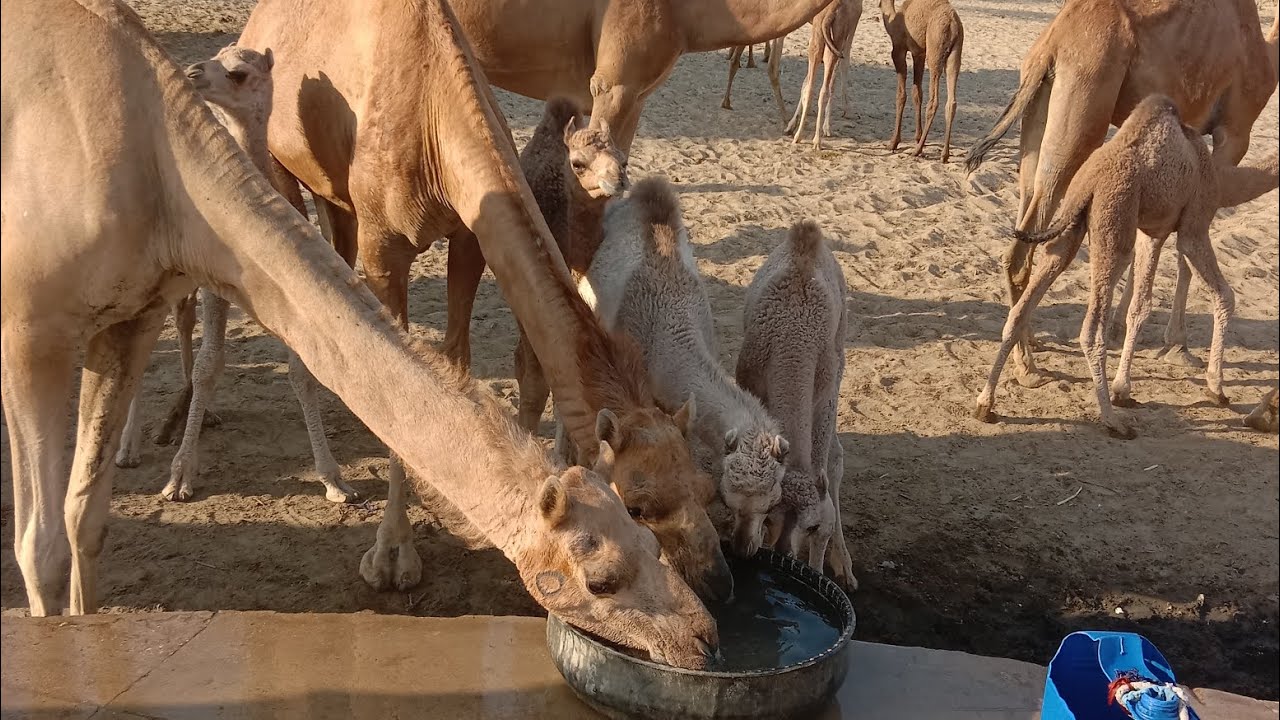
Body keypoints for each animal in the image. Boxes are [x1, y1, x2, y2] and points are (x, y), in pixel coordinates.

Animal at [735, 221, 857, 593]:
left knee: (835, 459)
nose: (784, 555)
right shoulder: (748, 376)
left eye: (814, 527)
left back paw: (845, 568)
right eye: (768, 517)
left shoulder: (826, 390)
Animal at [785, 0, 862, 149]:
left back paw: (802, 137)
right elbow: (844, 67)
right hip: (831, 41)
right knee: (821, 87)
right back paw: (814, 139)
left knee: (812, 88)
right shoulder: (852, 26)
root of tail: (831, 13)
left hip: (821, 41)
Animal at [880, 0, 964, 162]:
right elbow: (917, 93)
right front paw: (917, 137)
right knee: (951, 102)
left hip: (935, 49)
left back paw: (917, 151)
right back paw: (944, 154)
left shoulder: (898, 49)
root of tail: (953, 23)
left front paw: (893, 142)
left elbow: (901, 95)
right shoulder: (919, 53)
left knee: (934, 101)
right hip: (955, 53)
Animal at [964, 0, 1277, 387]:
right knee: (1030, 245)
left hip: (1037, 111)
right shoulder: (1233, 133)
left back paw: (1031, 343)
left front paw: (1120, 331)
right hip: (1085, 107)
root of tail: (1050, 45)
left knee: (1028, 211)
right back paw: (1028, 368)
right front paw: (1177, 346)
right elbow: (1184, 247)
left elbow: (1152, 240)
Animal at [973, 96, 1280, 437]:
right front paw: (1217, 389)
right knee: (1091, 329)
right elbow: (1225, 295)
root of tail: (1089, 181)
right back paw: (1112, 420)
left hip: (1071, 226)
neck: (1219, 179)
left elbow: (1140, 306)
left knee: (1022, 306)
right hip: (1115, 225)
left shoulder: (1153, 231)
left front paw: (1124, 388)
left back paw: (986, 404)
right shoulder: (1194, 224)